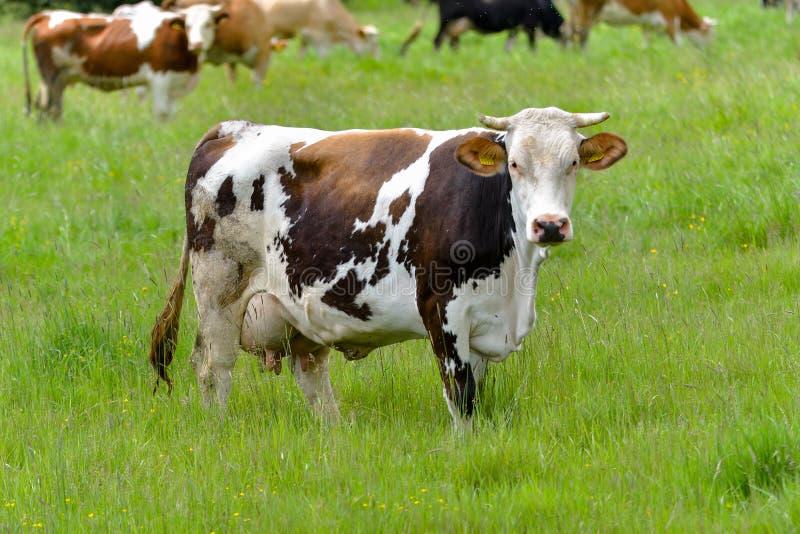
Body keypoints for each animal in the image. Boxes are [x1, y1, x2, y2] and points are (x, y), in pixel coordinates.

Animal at [21, 3, 219, 120]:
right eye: (187, 25)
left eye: (209, 24)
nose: (197, 44)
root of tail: (48, 15)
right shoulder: (160, 79)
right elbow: (161, 113)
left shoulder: (174, 85)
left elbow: (170, 114)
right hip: (50, 75)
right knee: (46, 106)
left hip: (59, 78)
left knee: (54, 108)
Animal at [148, 106, 627, 425]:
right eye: (514, 164)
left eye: (573, 163)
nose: (549, 225)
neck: (514, 276)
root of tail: (236, 128)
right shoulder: (442, 312)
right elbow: (462, 399)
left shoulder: (485, 323)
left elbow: (478, 394)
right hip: (219, 289)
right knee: (213, 367)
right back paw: (218, 430)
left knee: (312, 375)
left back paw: (335, 433)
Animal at [399, 0, 565, 55]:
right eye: (565, 34)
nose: (565, 49)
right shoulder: (529, 24)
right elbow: (532, 46)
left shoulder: (515, 27)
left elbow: (508, 46)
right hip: (447, 19)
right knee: (438, 40)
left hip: (457, 23)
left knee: (452, 42)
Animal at [564, 0, 716, 48]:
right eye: (709, 34)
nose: (709, 52)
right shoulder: (670, 18)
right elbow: (677, 43)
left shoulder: (647, 24)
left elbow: (646, 42)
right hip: (587, 11)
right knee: (579, 33)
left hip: (575, 11)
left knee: (567, 30)